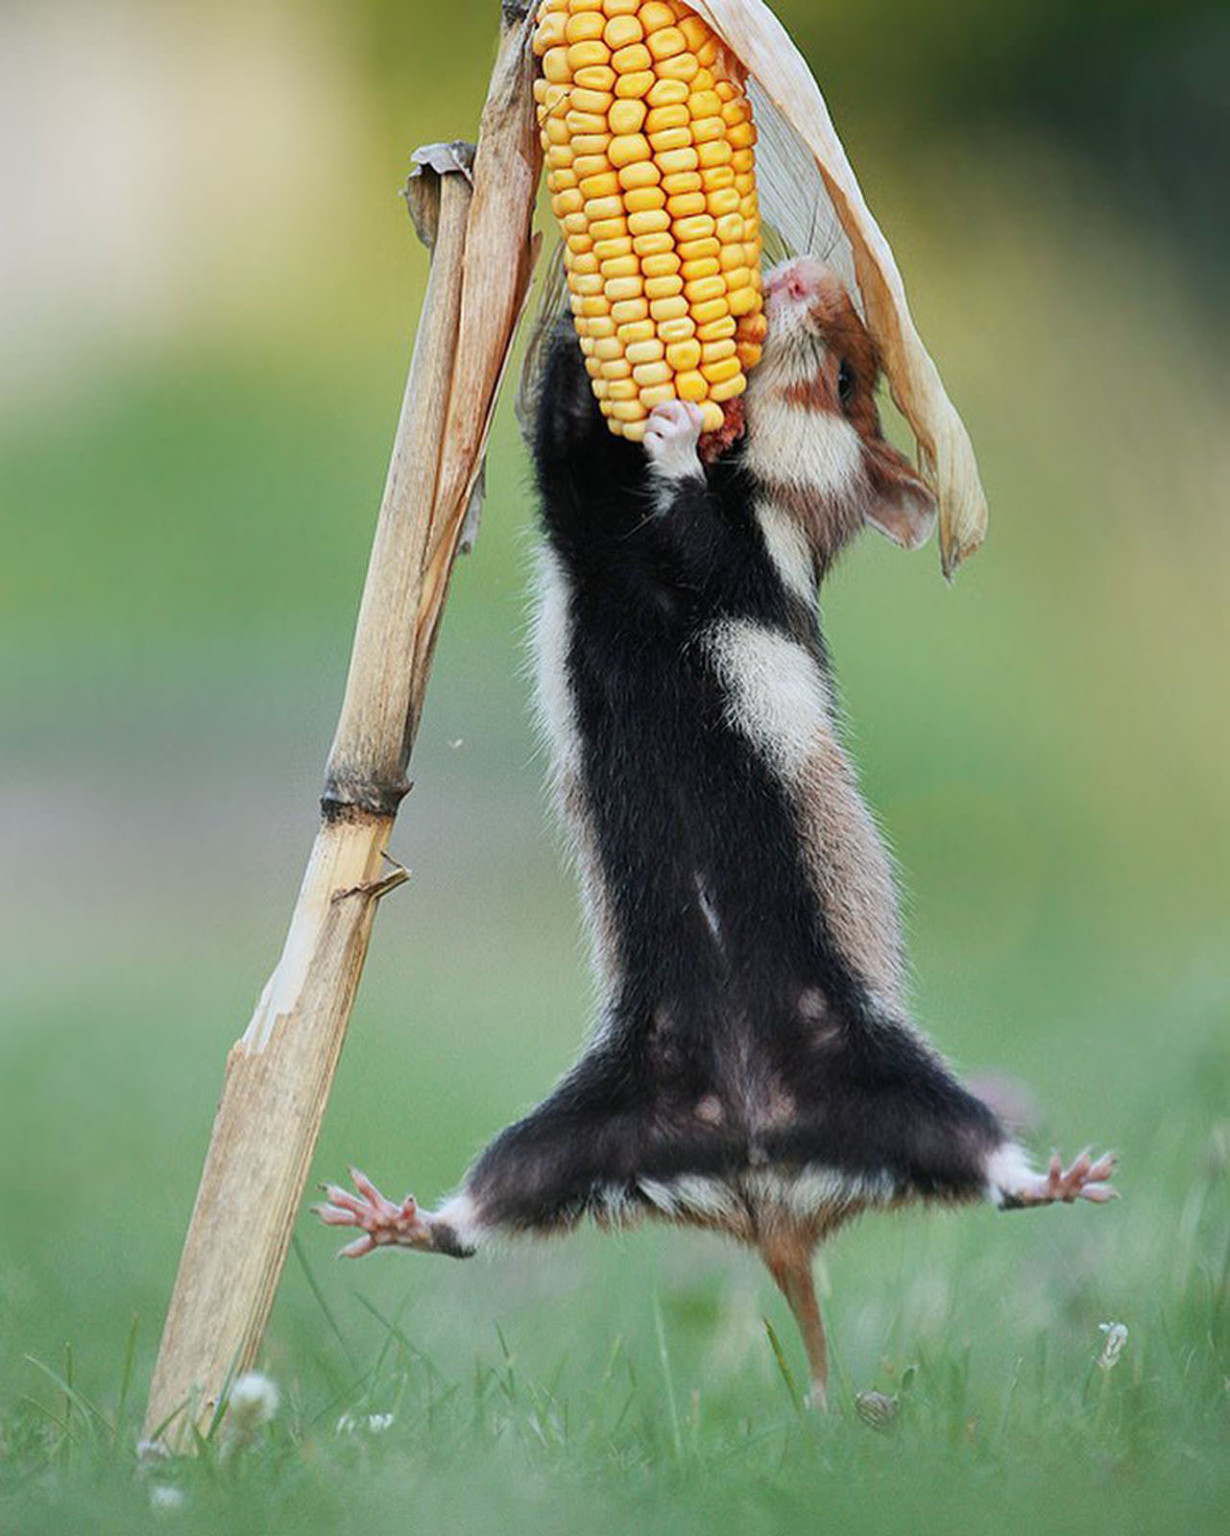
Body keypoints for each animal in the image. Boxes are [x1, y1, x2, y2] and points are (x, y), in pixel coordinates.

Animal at [317, 256, 1115, 1408]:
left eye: (844, 378)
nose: (809, 269)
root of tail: (762, 1190)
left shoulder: (719, 560)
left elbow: (683, 509)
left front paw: (675, 428)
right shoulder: (584, 525)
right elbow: (565, 444)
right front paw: (562, 298)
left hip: (907, 1093)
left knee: (995, 1176)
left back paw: (1071, 1176)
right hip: (572, 1139)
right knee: (478, 1220)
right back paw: (379, 1216)